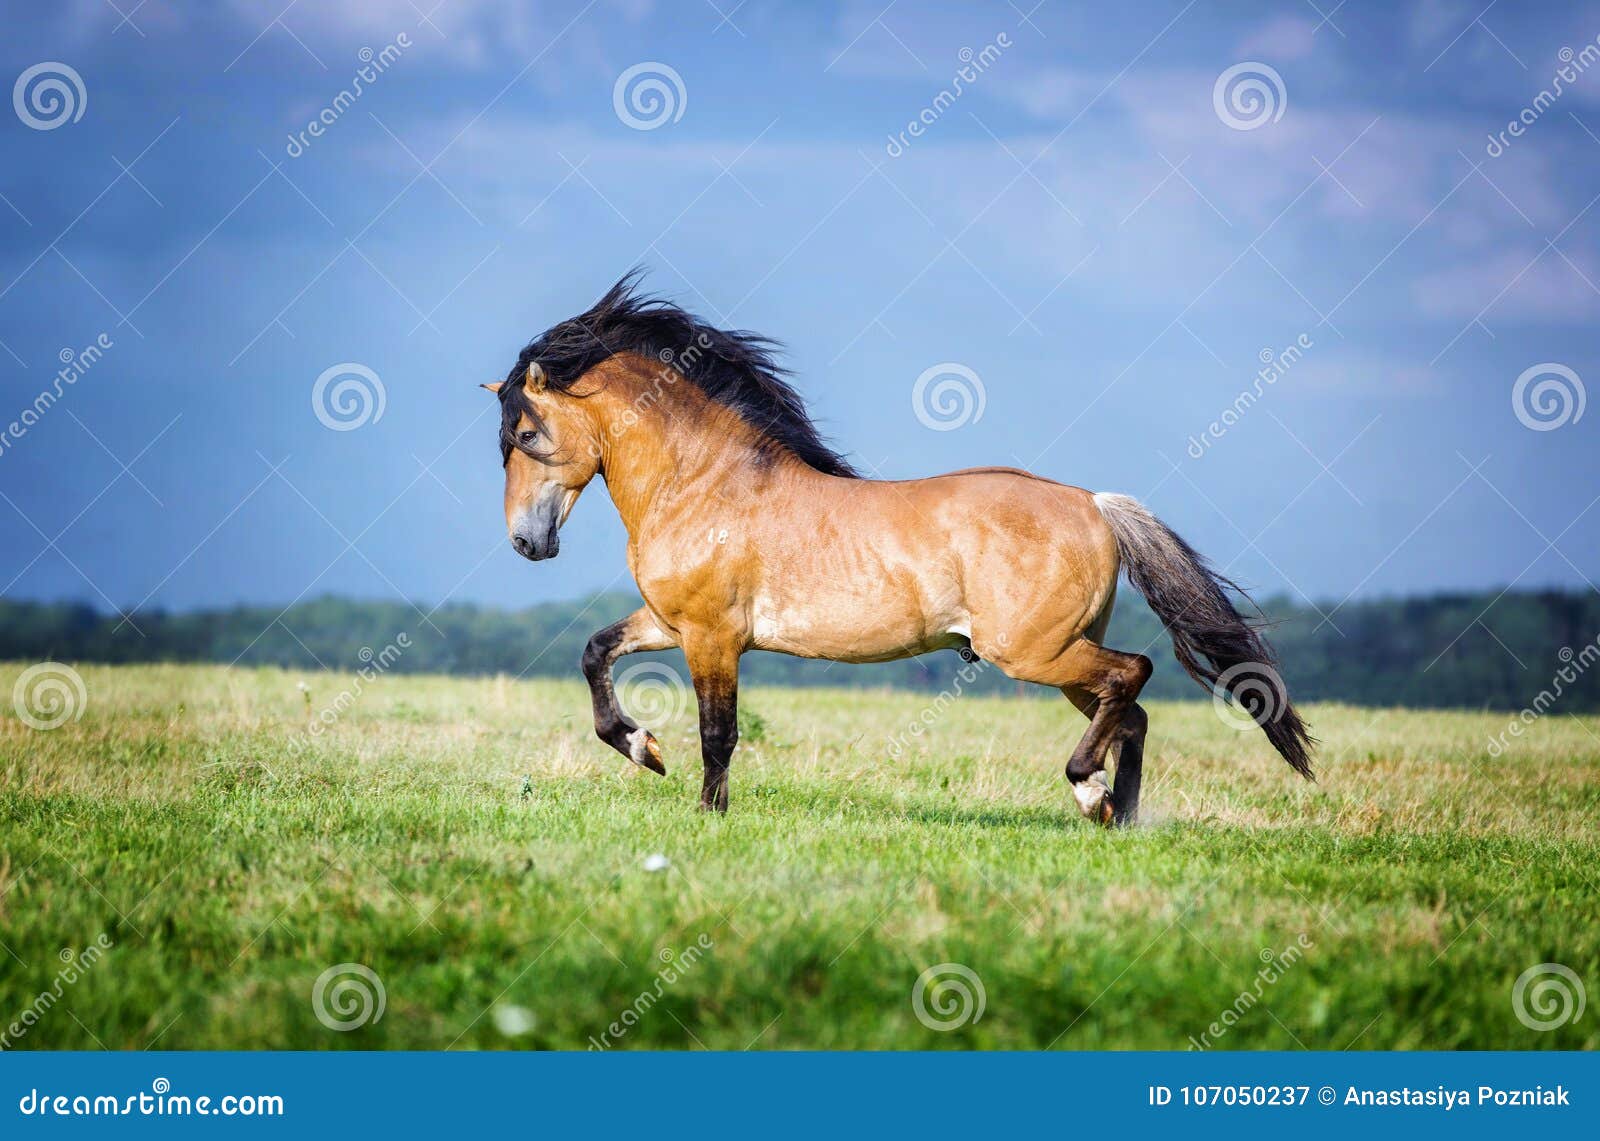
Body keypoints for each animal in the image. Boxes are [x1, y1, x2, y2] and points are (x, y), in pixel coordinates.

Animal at [483, 273, 1313, 825]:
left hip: (1033, 651)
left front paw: (707, 814)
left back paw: (1087, 786)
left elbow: (719, 732)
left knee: (1132, 676)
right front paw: (643, 748)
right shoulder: (672, 622)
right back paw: (1117, 814)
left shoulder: (713, 636)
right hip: (1061, 649)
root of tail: (1094, 505)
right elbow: (596, 653)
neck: (707, 481)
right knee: (1130, 710)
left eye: (525, 434)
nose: (527, 541)